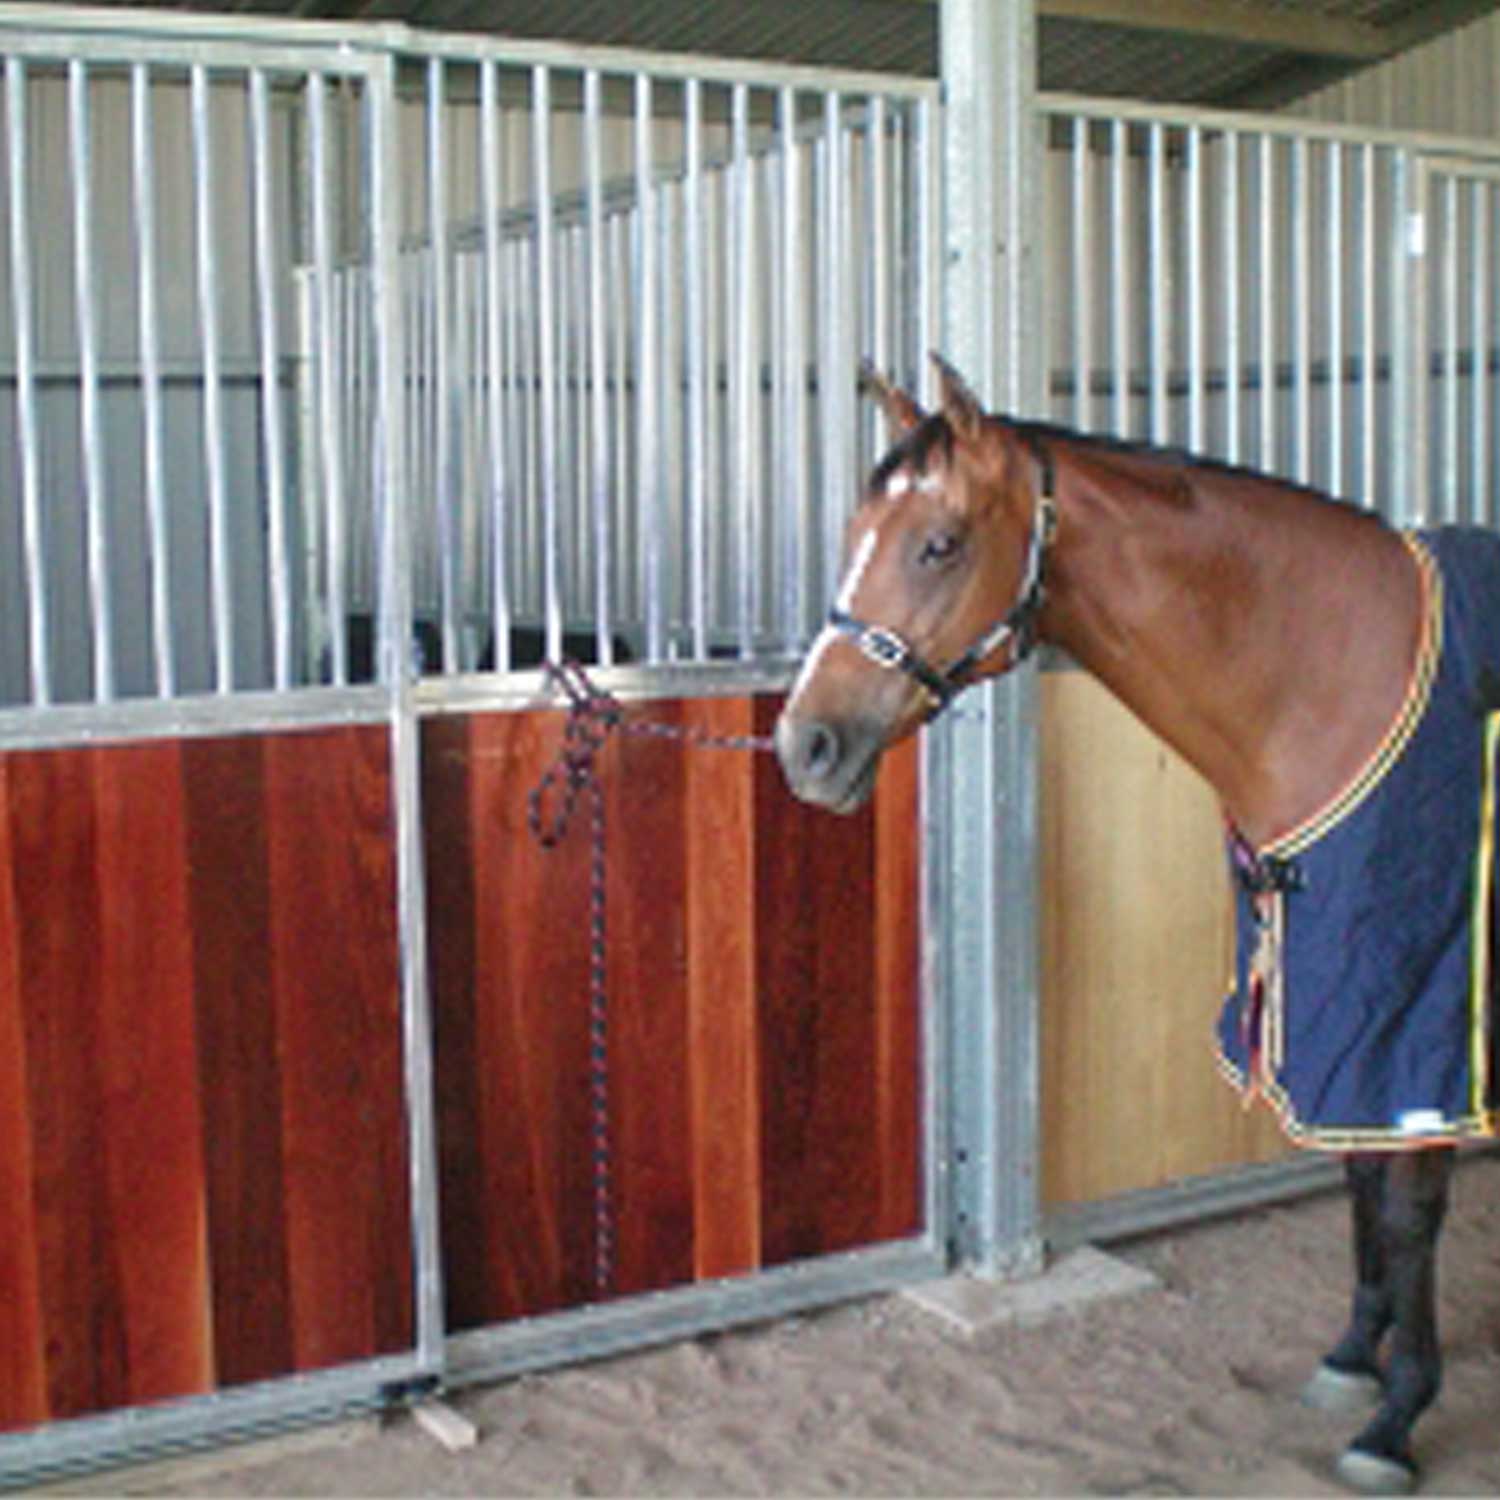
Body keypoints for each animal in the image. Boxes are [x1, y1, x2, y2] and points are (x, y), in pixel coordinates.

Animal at [774, 354, 1498, 1496]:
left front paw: (1398, 1416)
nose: (803, 745)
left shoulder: (1417, 1005)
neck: (1340, 673)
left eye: (939, 544)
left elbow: (1407, 1203)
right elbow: (1354, 1173)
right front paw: (1354, 1355)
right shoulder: (1317, 995)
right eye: (854, 533)